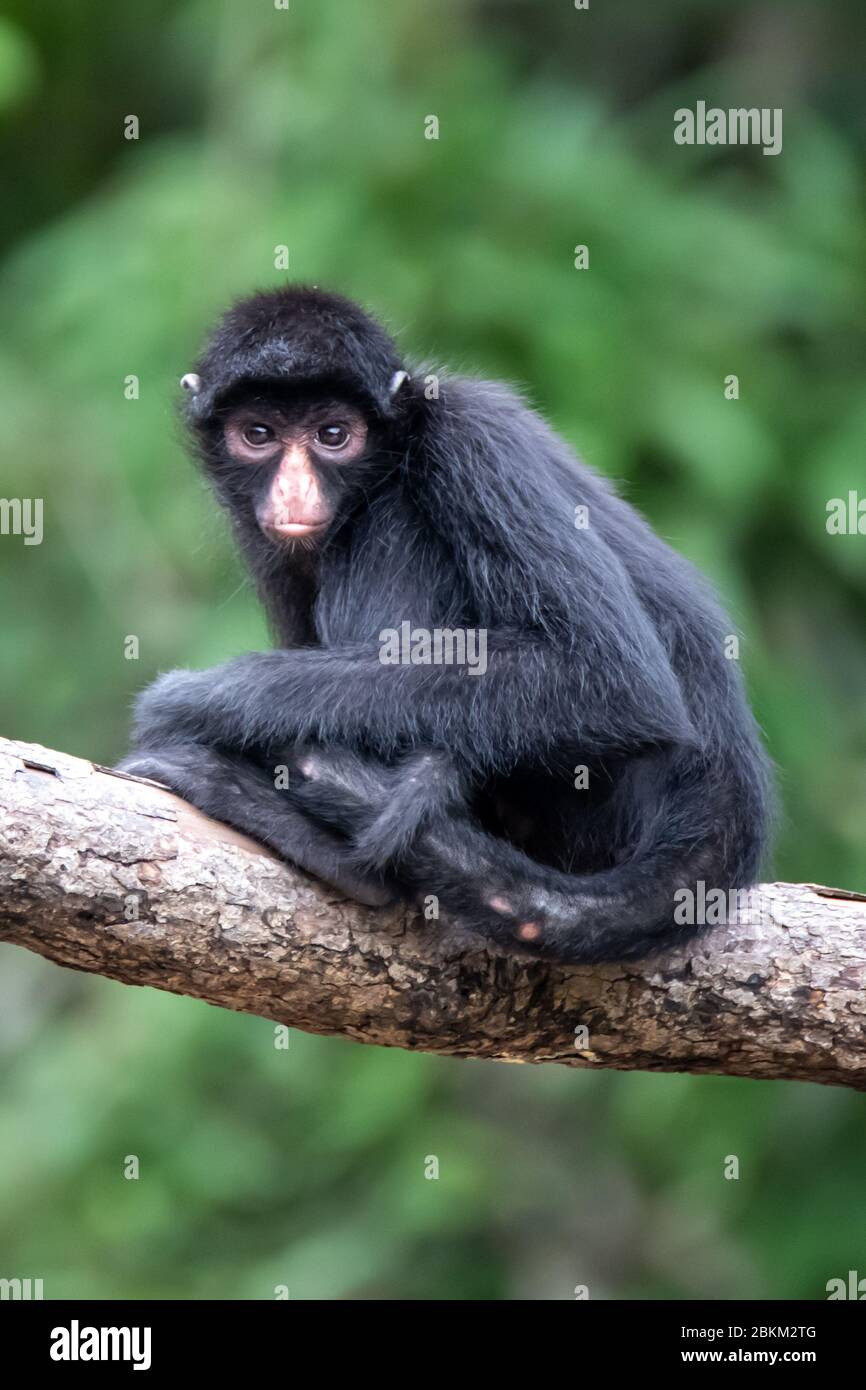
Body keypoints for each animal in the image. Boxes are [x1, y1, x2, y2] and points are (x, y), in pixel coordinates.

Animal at [119, 285, 773, 964]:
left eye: (333, 435)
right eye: (258, 434)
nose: (295, 492)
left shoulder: (474, 433)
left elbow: (616, 682)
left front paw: (201, 702)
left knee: (392, 514)